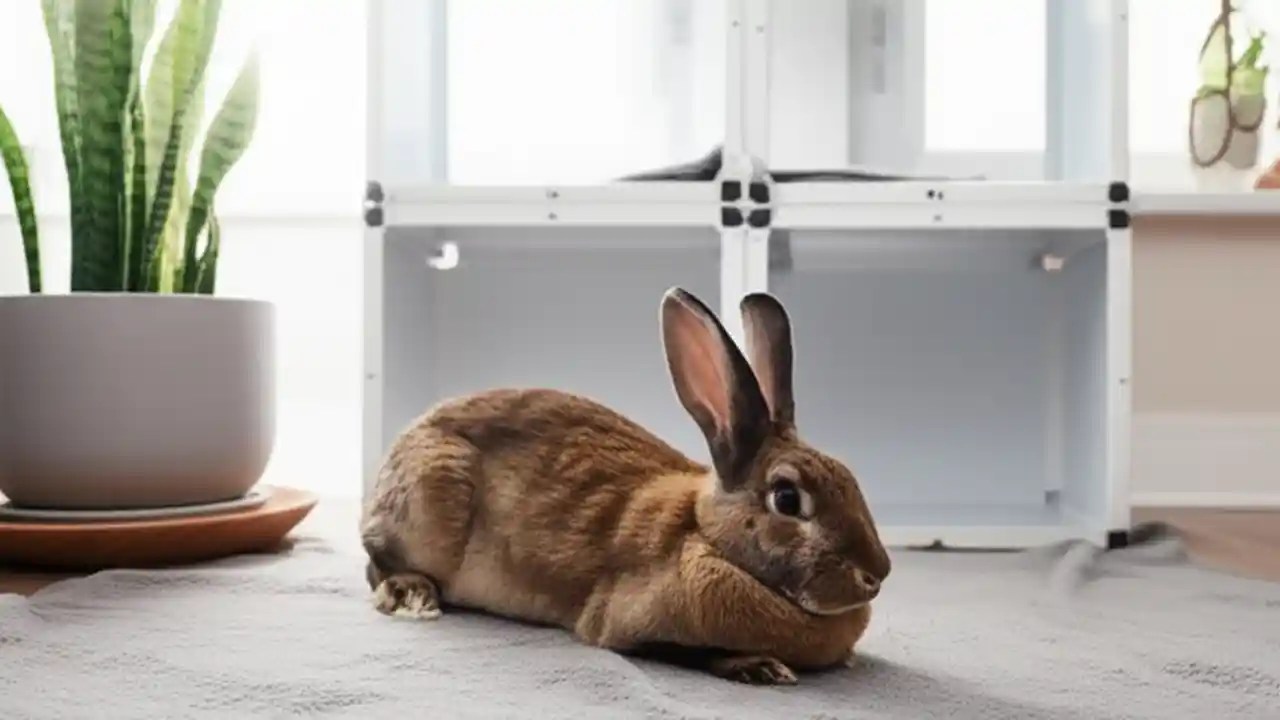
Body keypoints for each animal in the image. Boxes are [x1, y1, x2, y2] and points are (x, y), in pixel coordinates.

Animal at [360, 287, 891, 685]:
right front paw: (760, 666)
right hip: (430, 506)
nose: (878, 573)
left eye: (850, 478)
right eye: (787, 498)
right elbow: (686, 651)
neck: (708, 537)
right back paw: (414, 597)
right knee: (379, 563)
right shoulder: (628, 623)